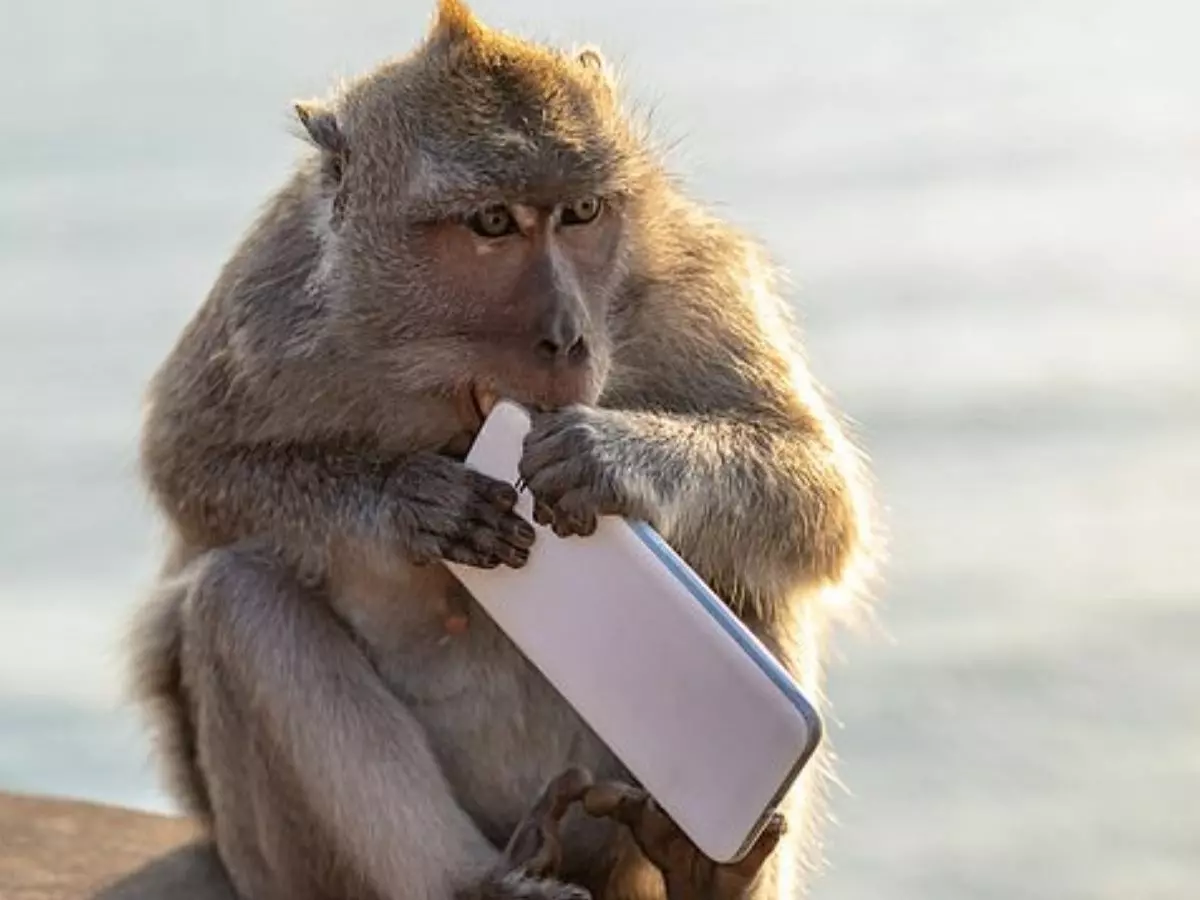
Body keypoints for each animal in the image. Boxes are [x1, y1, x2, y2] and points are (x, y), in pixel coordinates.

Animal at [127, 2, 876, 900]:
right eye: (493, 223)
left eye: (582, 212)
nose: (568, 336)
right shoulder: (273, 300)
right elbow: (193, 463)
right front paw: (411, 501)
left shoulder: (690, 278)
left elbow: (815, 493)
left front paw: (607, 458)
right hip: (286, 868)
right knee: (234, 598)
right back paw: (481, 881)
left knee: (745, 570)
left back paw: (704, 866)